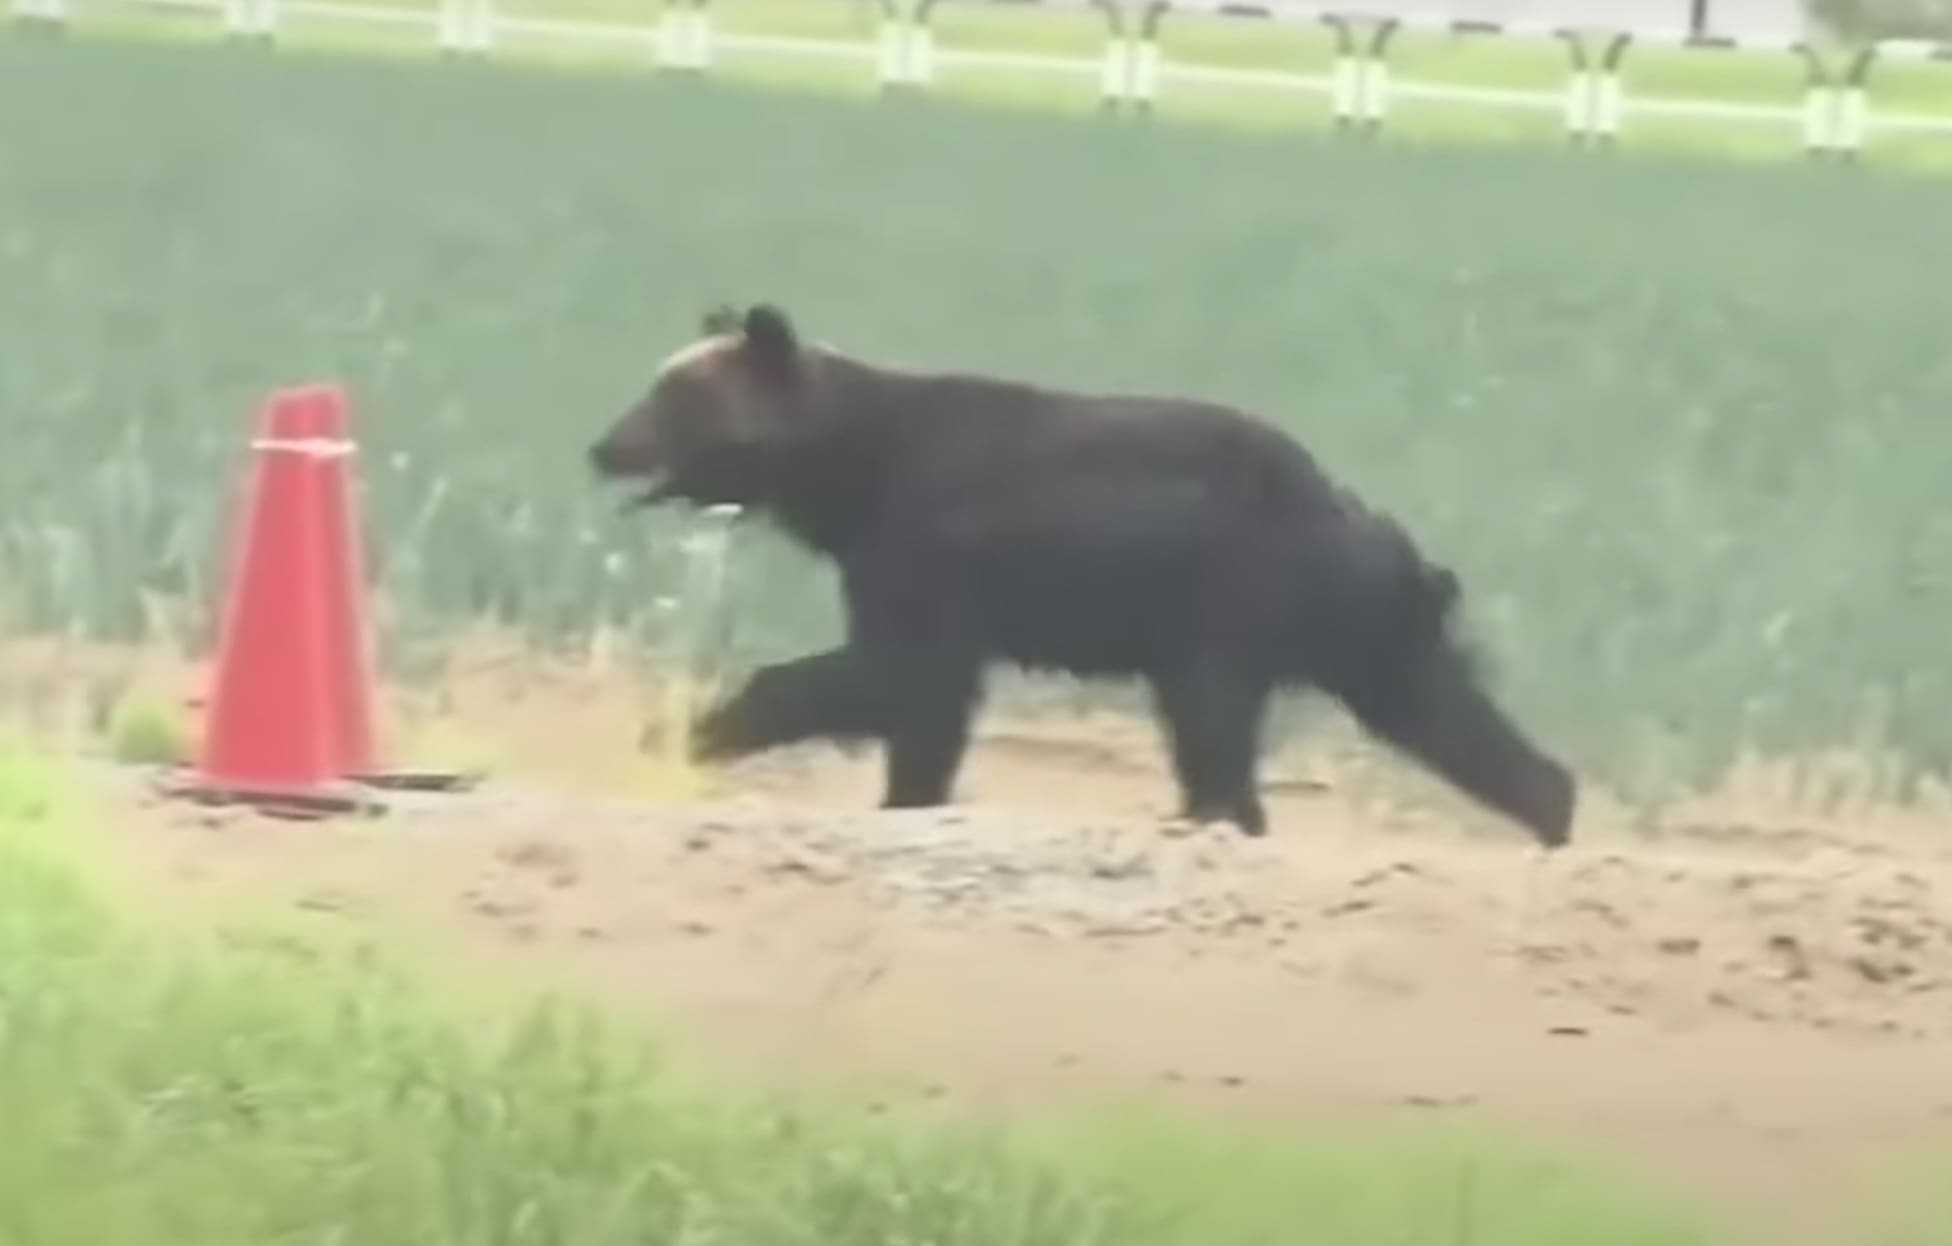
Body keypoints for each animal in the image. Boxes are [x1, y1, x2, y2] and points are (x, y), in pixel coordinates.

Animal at [588, 302, 1576, 848]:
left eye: (673, 397)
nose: (602, 445)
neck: (850, 475)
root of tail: (1370, 526)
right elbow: (917, 704)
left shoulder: (929, 552)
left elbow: (897, 679)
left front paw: (690, 728)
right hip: (1361, 630)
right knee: (1443, 714)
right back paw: (1553, 812)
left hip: (1233, 607)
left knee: (1218, 728)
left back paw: (1215, 819)